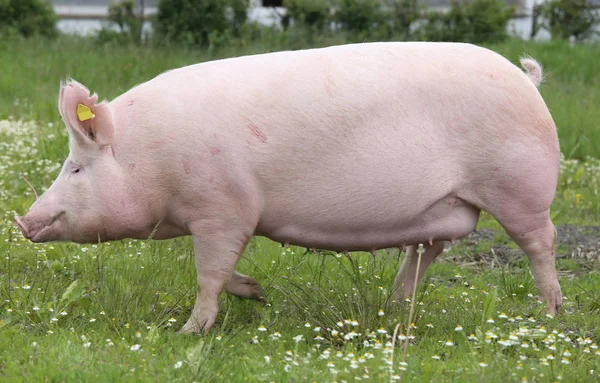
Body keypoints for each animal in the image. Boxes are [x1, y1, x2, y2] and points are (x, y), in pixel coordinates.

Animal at [14, 41, 564, 332]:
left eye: (75, 169)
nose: (23, 220)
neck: (149, 159)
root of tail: (527, 79)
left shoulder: (223, 209)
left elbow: (209, 274)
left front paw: (190, 330)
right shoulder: (225, 216)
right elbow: (225, 273)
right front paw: (258, 294)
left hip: (521, 186)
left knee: (541, 242)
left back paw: (552, 313)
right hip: (445, 204)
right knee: (428, 249)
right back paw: (393, 305)